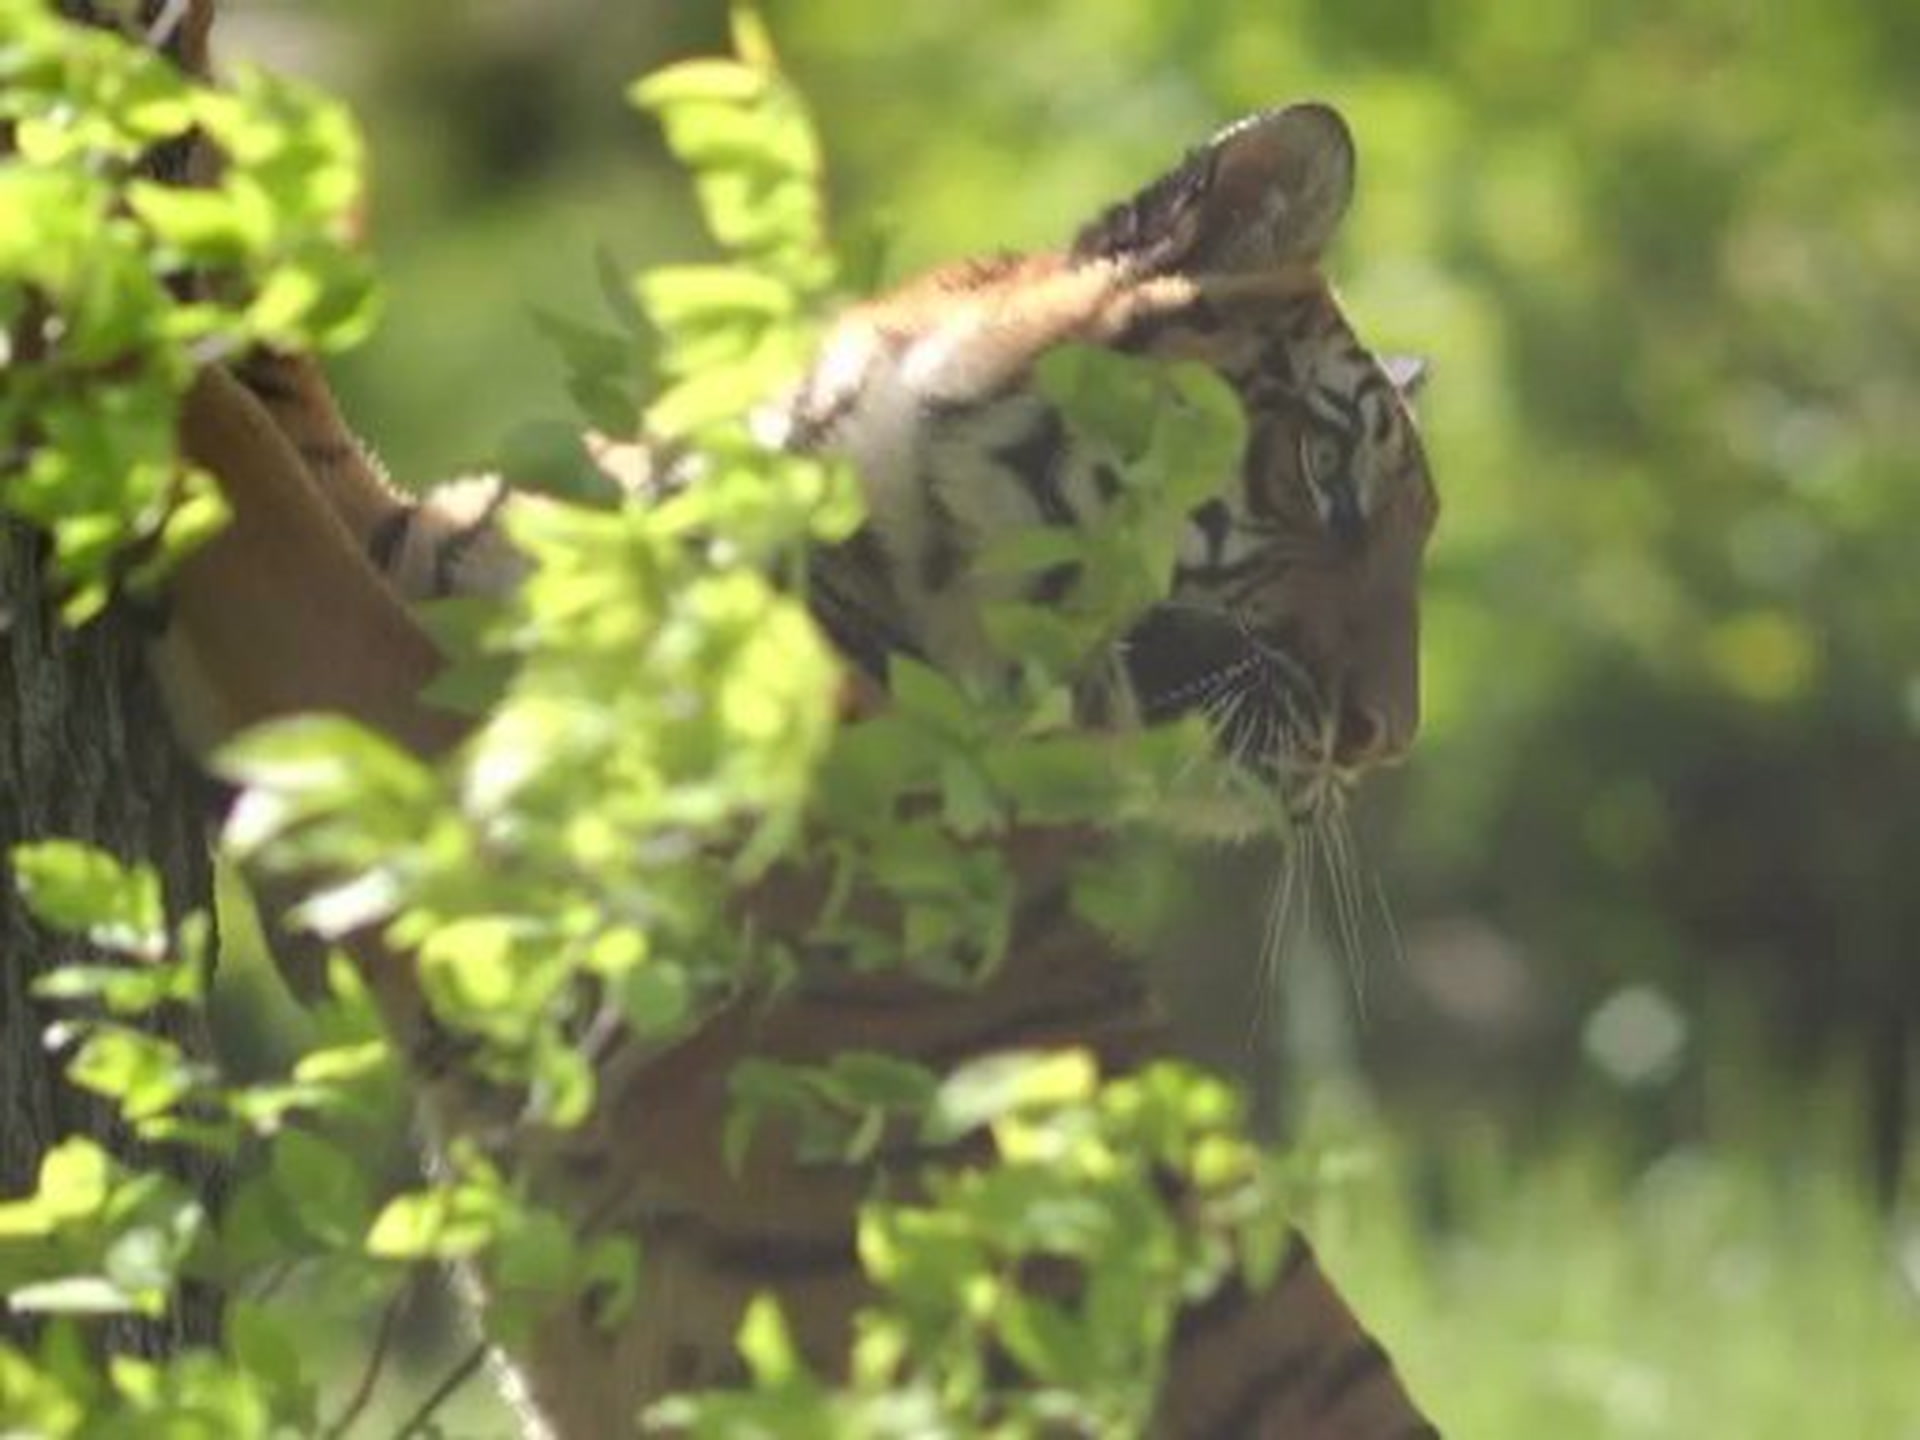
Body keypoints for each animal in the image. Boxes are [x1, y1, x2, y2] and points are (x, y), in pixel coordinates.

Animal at [130, 2, 1442, 1434]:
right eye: (1326, 471)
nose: (1384, 737)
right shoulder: (438, 562)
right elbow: (283, 391)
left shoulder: (536, 891)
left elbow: (254, 494)